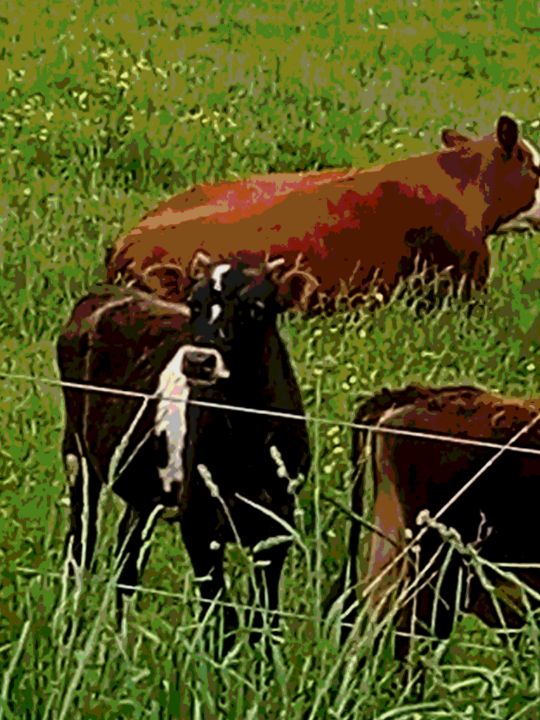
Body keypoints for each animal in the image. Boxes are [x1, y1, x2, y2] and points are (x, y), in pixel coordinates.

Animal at [57, 256, 311, 650]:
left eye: (255, 308)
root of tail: (104, 293)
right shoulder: (199, 523)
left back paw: (120, 641)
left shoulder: (278, 522)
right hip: (77, 456)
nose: (199, 360)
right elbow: (222, 614)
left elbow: (266, 618)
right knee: (82, 545)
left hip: (144, 491)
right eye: (194, 304)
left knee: (127, 558)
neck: (249, 440)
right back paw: (72, 631)